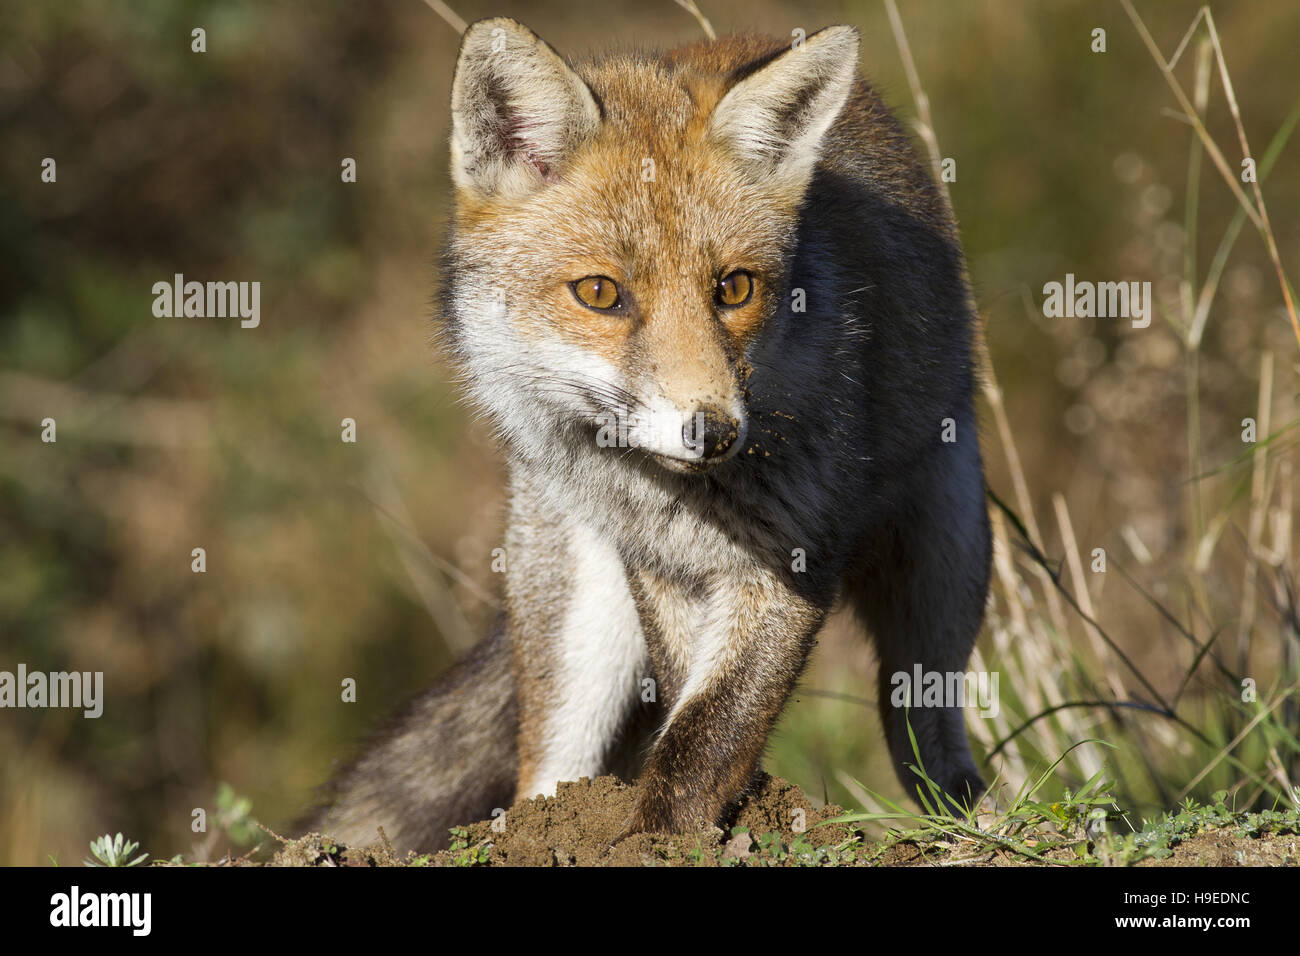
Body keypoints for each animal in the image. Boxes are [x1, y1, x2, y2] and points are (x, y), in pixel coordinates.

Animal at [301, 17, 993, 853]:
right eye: (601, 293)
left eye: (735, 288)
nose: (716, 430)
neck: (675, 499)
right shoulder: (658, 568)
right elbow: (688, 716)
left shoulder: (788, 561)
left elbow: (706, 732)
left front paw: (668, 833)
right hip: (579, 626)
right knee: (545, 773)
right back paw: (548, 829)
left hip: (943, 572)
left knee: (925, 732)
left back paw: (967, 816)